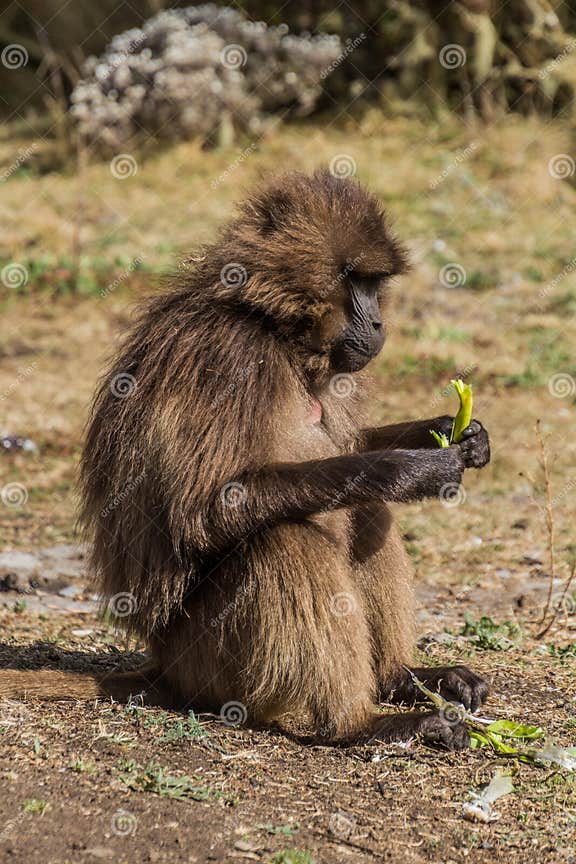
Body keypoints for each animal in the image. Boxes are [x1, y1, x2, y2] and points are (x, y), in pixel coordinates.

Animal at [0, 169, 490, 749]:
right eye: (354, 280)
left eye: (375, 283)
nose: (377, 325)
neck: (275, 329)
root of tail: (162, 667)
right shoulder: (228, 359)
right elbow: (207, 508)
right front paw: (407, 470)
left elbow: (349, 447)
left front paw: (457, 434)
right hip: (205, 659)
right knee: (286, 537)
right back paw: (359, 724)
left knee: (367, 512)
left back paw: (403, 678)